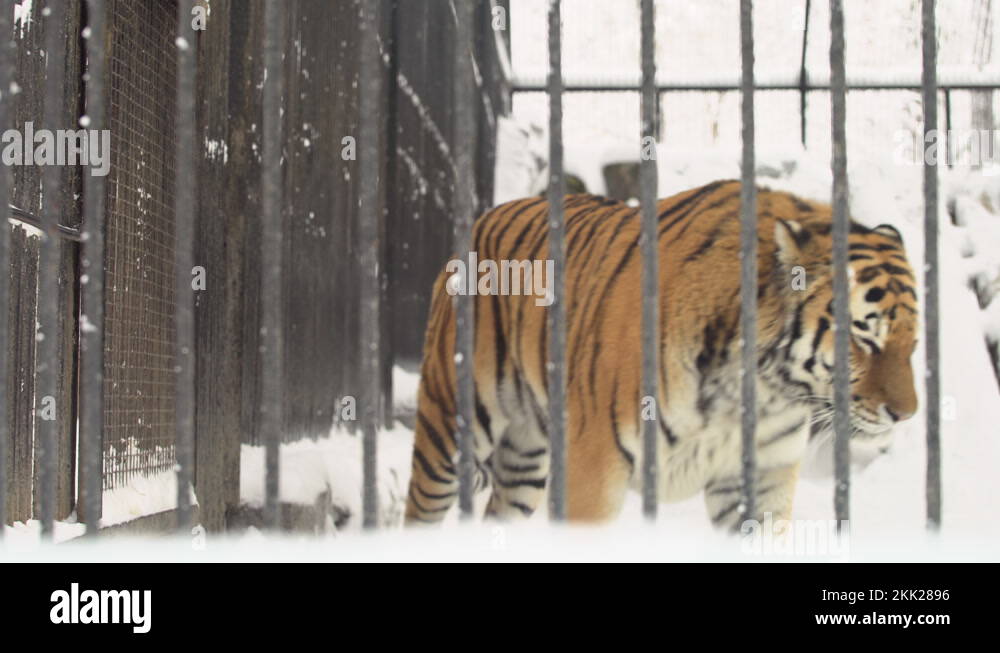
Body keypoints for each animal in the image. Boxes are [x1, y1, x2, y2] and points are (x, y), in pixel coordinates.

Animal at [404, 179, 918, 528]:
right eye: (864, 337)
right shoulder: (594, 472)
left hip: (526, 457)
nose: (907, 415)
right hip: (449, 430)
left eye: (912, 343)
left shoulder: (759, 480)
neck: (762, 387)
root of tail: (484, 217)